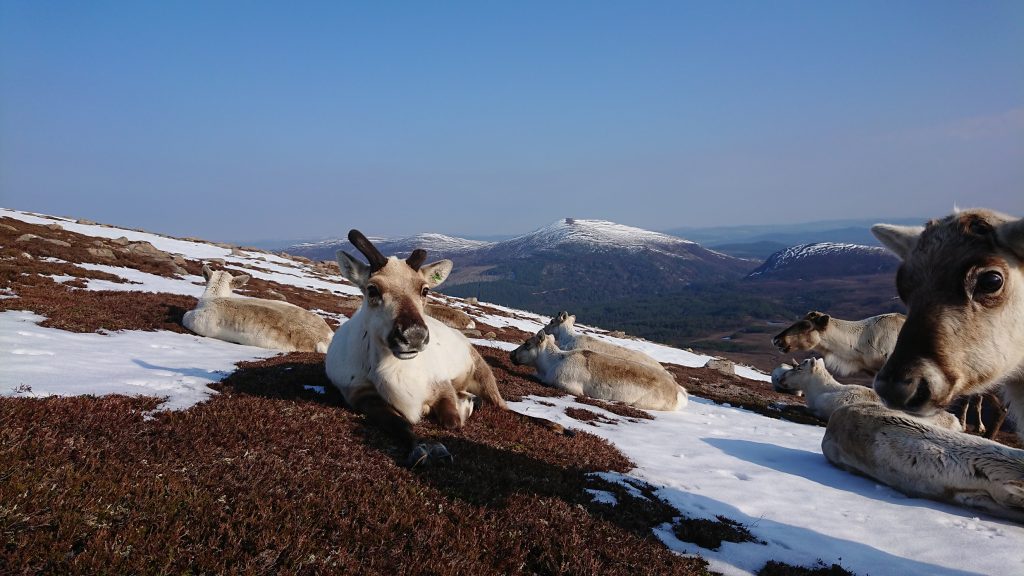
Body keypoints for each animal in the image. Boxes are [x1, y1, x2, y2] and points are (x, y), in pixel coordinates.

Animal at [325, 230, 562, 467]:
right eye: (372, 289)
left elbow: (452, 421)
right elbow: (400, 424)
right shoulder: (360, 394)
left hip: (482, 370)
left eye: (425, 289)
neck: (394, 372)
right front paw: (422, 448)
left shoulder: (442, 383)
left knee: (502, 406)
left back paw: (555, 426)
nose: (414, 336)